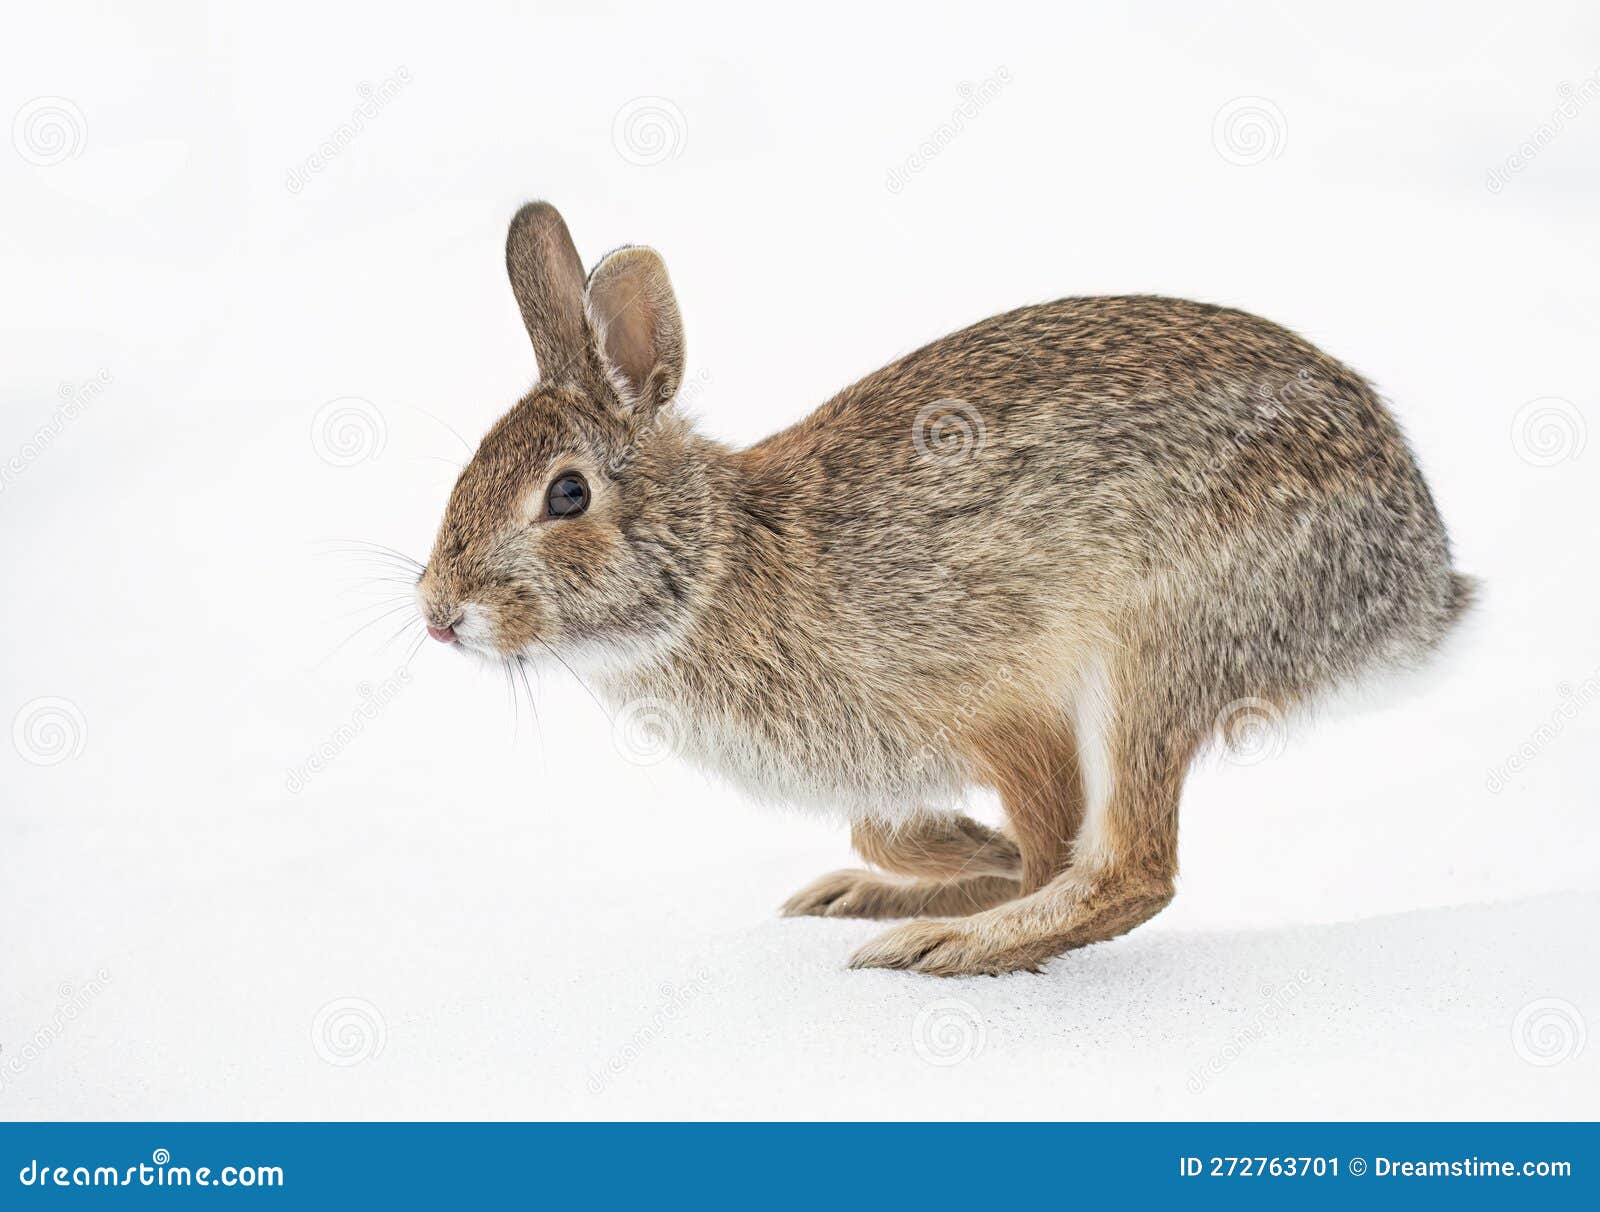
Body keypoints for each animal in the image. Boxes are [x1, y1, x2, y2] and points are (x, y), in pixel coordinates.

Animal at [416, 201, 1474, 976]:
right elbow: (899, 832)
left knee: (1135, 871)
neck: (720, 562)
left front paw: (981, 873)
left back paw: (945, 945)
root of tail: (1421, 578)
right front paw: (960, 856)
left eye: (567, 494)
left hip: (1156, 649)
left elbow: (1050, 844)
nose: (439, 615)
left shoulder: (1011, 712)